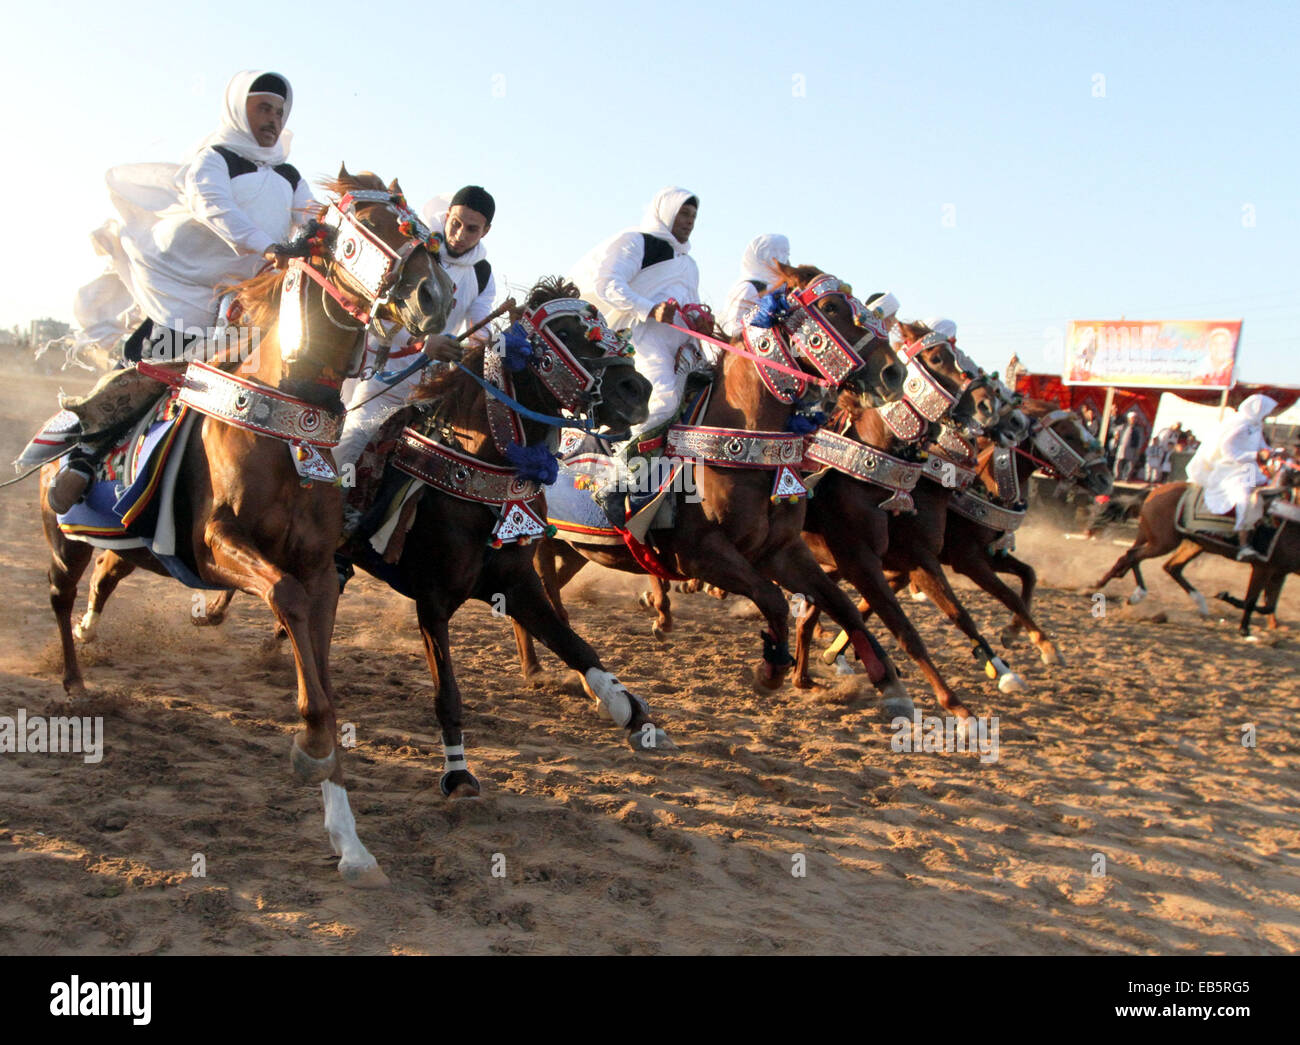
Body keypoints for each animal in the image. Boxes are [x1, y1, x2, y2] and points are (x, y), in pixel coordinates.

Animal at [41, 167, 454, 886]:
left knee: (108, 575)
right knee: (62, 596)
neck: (287, 431)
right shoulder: (215, 546)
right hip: (65, 537)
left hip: (131, 544)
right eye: (361, 228)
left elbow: (324, 680)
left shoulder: (321, 572)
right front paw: (309, 747)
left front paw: (349, 837)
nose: (438, 294)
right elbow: (282, 600)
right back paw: (72, 682)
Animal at [336, 277, 659, 797]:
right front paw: (457, 771)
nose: (637, 390)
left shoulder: (514, 583)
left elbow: (577, 646)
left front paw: (627, 710)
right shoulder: (433, 599)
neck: (477, 478)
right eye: (564, 331)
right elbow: (448, 693)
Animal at [513, 263, 918, 712]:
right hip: (538, 544)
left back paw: (545, 669)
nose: (894, 373)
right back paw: (550, 673)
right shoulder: (700, 555)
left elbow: (841, 604)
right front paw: (770, 670)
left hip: (574, 550)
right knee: (542, 602)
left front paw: (891, 684)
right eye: (830, 307)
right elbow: (773, 599)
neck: (746, 450)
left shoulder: (782, 552)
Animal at [1094, 450, 1299, 637]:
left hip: (1186, 542)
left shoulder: (1280, 572)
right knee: (1134, 556)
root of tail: (1155, 491)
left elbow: (1269, 606)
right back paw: (1131, 592)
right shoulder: (1262, 567)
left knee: (1162, 565)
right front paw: (1243, 627)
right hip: (1163, 542)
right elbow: (1252, 600)